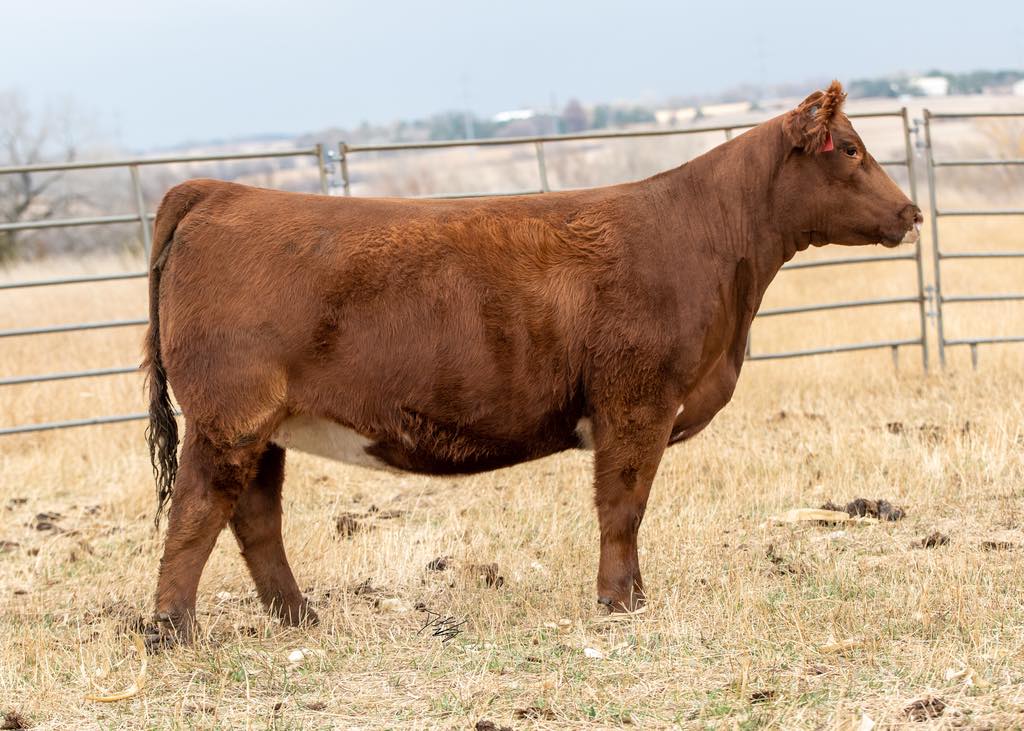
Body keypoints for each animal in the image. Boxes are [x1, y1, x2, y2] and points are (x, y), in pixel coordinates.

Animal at [142, 81, 921, 646]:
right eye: (852, 149)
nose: (911, 213)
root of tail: (218, 190)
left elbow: (626, 508)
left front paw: (632, 598)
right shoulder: (636, 400)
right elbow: (623, 505)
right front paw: (620, 603)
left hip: (265, 423)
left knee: (254, 518)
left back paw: (298, 617)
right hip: (229, 415)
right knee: (197, 512)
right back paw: (175, 632)